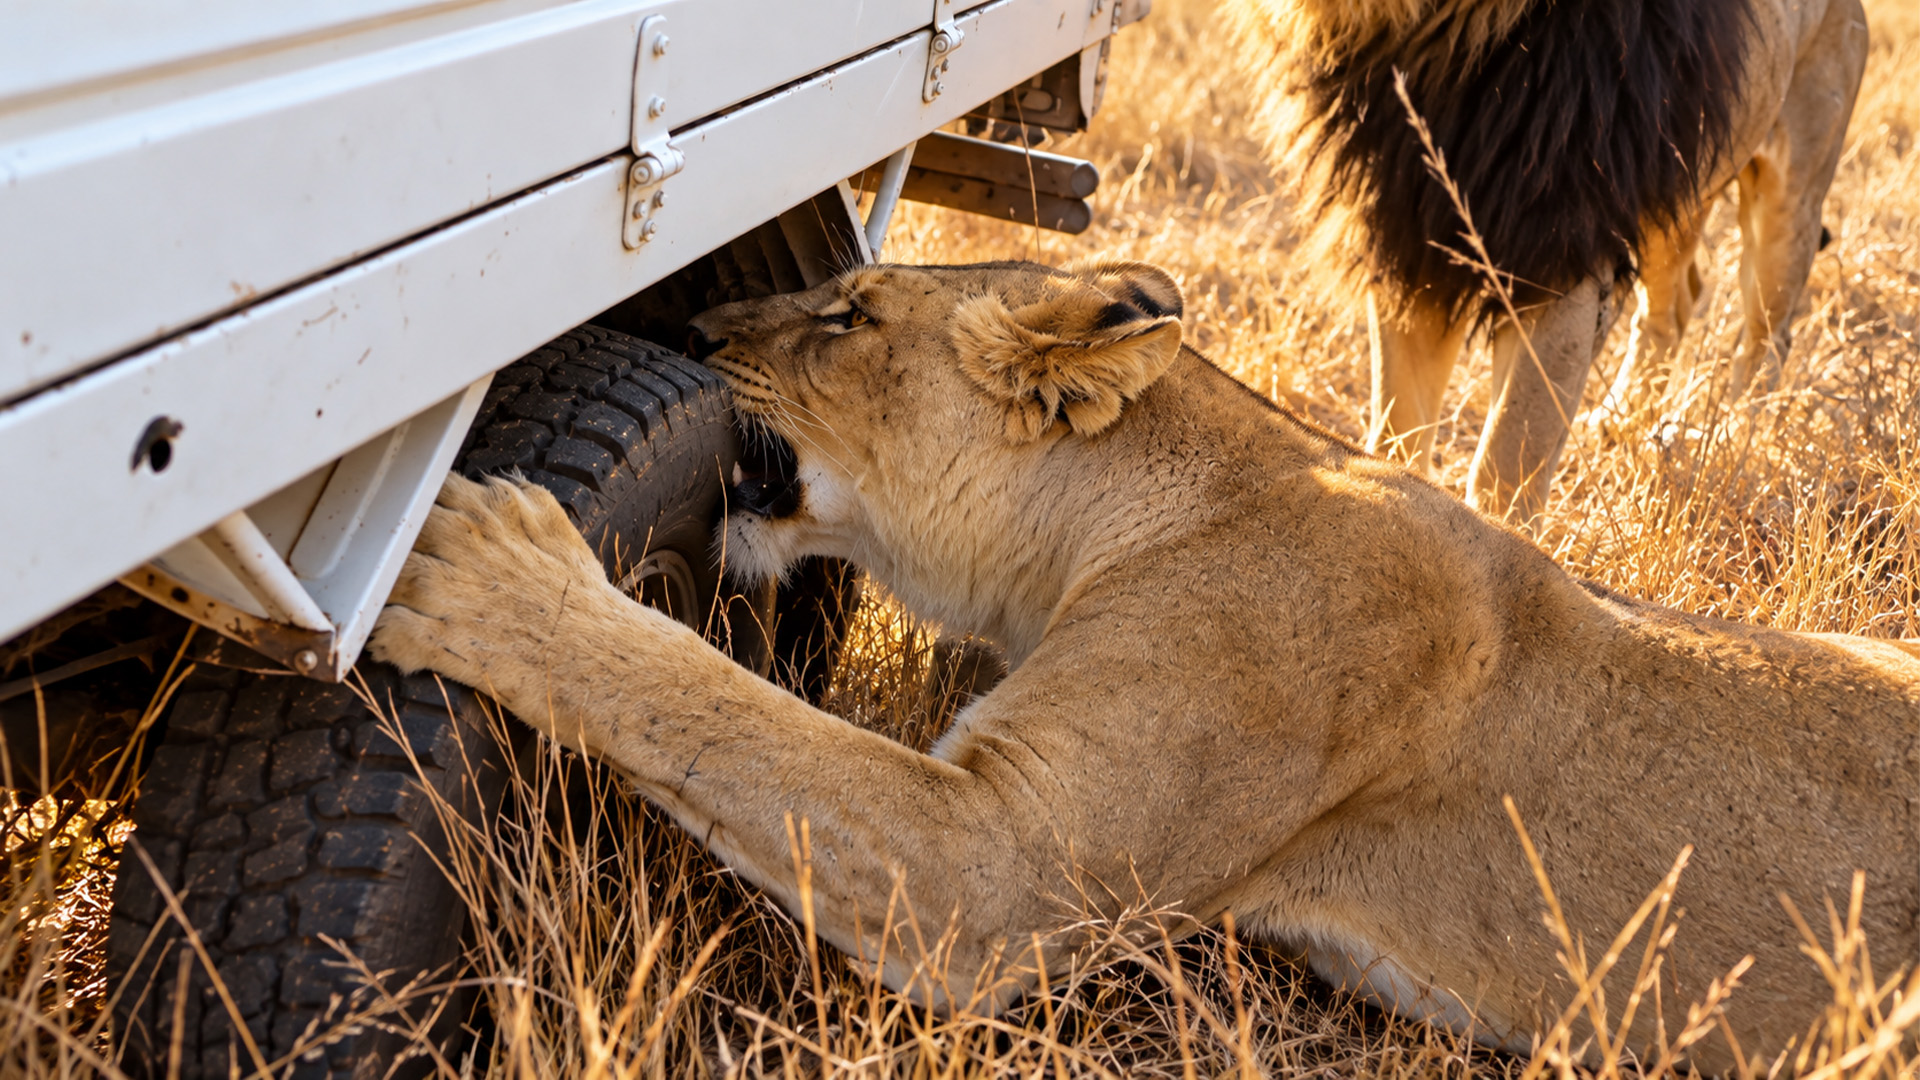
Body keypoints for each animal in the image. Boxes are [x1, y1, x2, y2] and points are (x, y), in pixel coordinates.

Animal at [1226, 0, 1870, 523]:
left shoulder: (1561, 265)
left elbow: (1507, 461)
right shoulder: (1408, 252)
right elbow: (1396, 434)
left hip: (1789, 198)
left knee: (1767, 338)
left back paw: (1737, 435)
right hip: (1680, 188)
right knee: (1674, 304)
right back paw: (1622, 418)